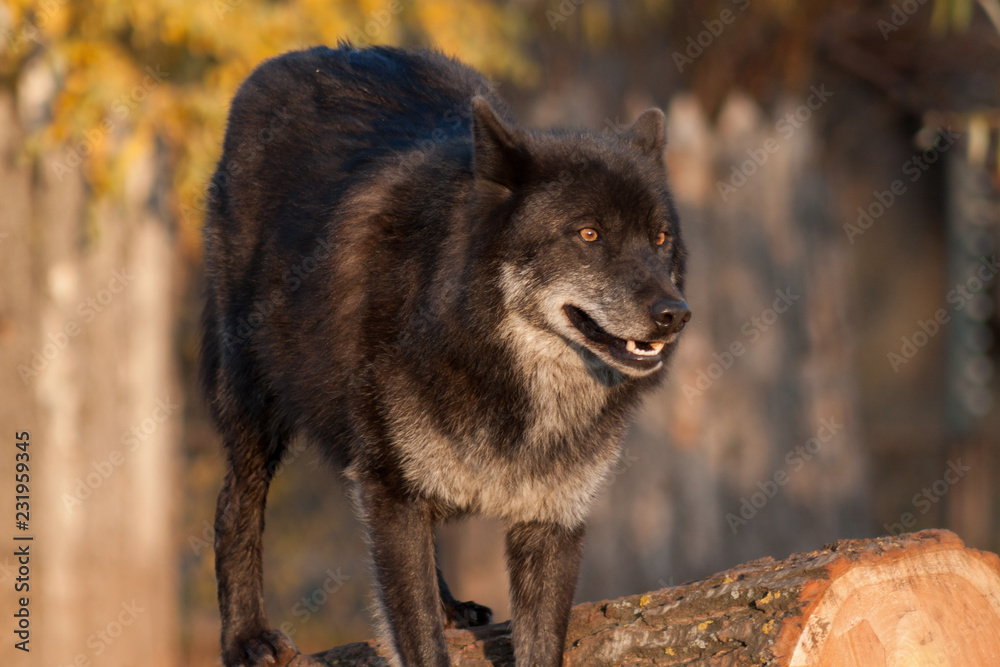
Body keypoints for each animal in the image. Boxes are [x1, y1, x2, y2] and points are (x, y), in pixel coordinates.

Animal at [201, 43, 690, 667]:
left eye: (659, 238)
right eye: (588, 234)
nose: (675, 313)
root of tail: (302, 56)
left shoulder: (549, 519)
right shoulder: (391, 490)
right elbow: (419, 639)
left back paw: (451, 606)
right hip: (255, 401)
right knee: (232, 506)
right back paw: (247, 637)